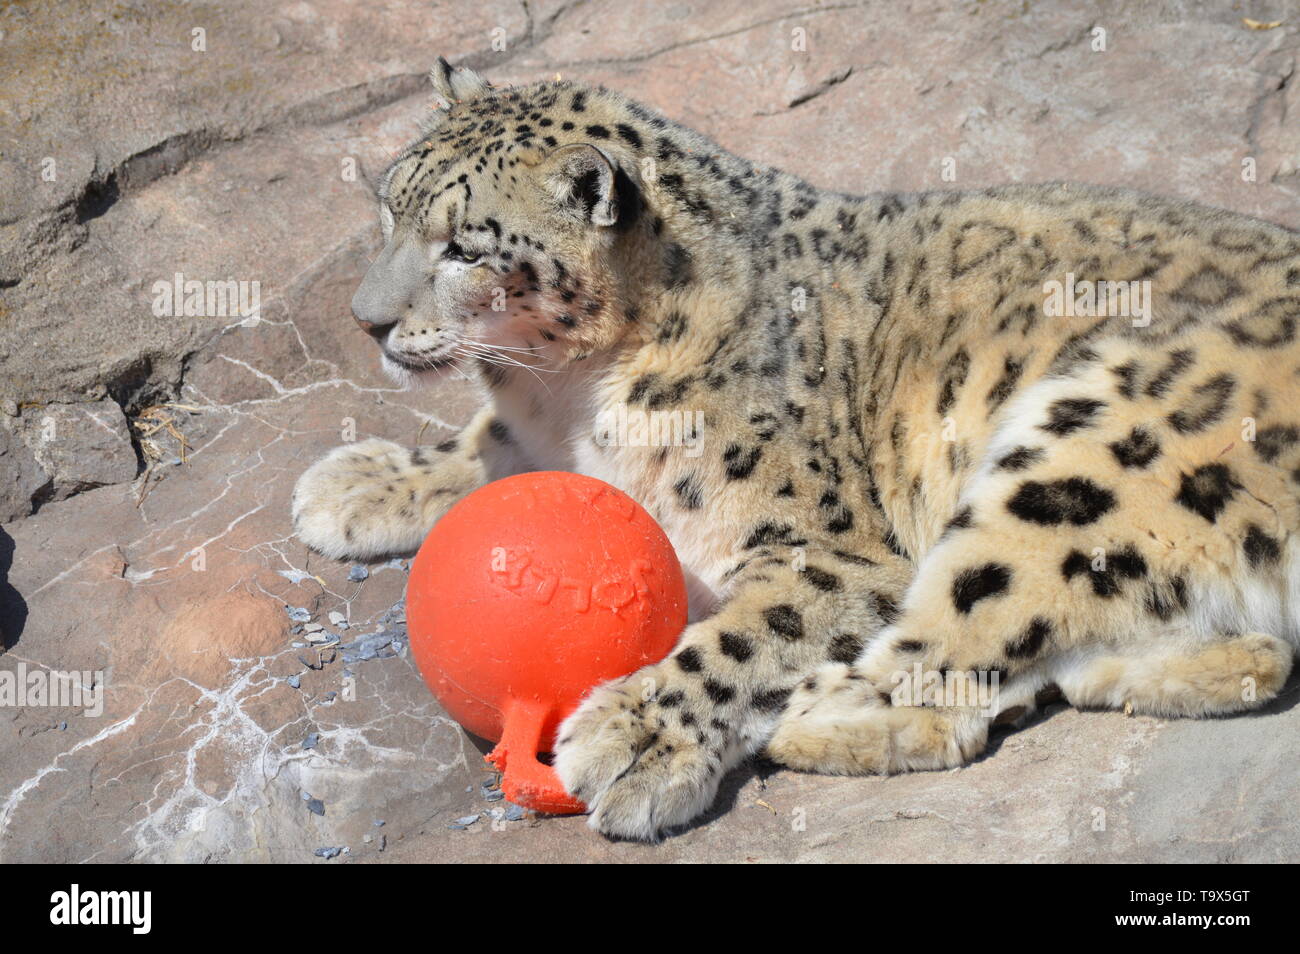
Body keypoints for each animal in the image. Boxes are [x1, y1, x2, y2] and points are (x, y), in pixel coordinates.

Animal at [292, 57, 1300, 841]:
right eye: (388, 209)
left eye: (464, 247)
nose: (367, 320)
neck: (570, 394)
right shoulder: (530, 430)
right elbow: (485, 452)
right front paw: (359, 480)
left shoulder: (832, 551)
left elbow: (745, 638)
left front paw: (638, 736)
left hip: (1090, 458)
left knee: (951, 671)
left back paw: (792, 716)